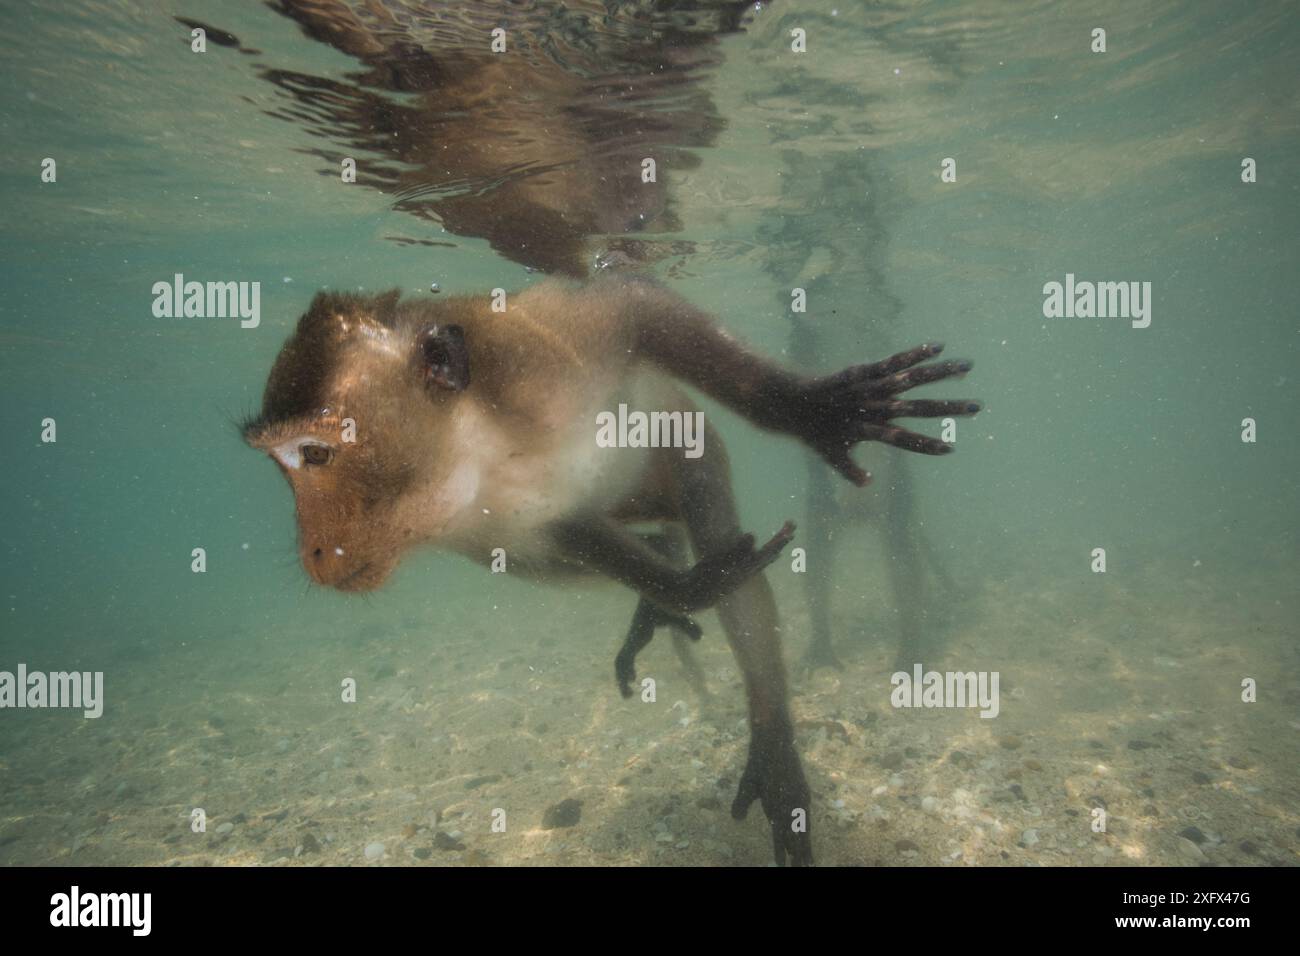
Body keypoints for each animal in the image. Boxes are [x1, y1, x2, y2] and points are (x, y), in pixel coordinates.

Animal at [242, 274, 980, 865]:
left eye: (314, 453)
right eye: (280, 462)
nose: (311, 550)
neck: (478, 448)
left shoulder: (549, 345)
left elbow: (635, 303)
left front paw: (811, 408)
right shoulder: (475, 523)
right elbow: (562, 529)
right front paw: (684, 587)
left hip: (684, 437)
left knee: (707, 512)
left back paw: (773, 739)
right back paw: (671, 583)